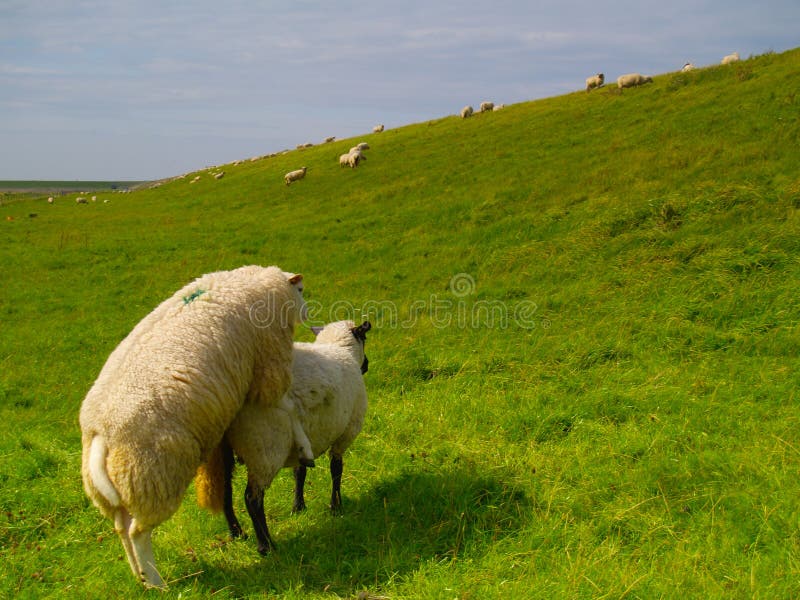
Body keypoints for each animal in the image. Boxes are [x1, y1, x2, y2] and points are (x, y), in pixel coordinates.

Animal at [79, 266, 307, 588]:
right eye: (300, 290)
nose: (307, 312)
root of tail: (100, 431)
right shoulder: (268, 364)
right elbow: (282, 400)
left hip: (119, 486)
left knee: (122, 528)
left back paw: (141, 577)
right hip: (154, 477)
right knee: (138, 533)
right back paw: (157, 582)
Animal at [195, 320, 371, 550]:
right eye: (365, 338)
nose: (367, 365)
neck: (341, 349)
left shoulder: (305, 440)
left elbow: (299, 472)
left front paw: (299, 506)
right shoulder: (346, 432)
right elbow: (336, 470)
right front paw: (336, 506)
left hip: (222, 449)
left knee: (226, 492)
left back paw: (237, 533)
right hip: (264, 448)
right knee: (252, 498)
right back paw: (266, 545)